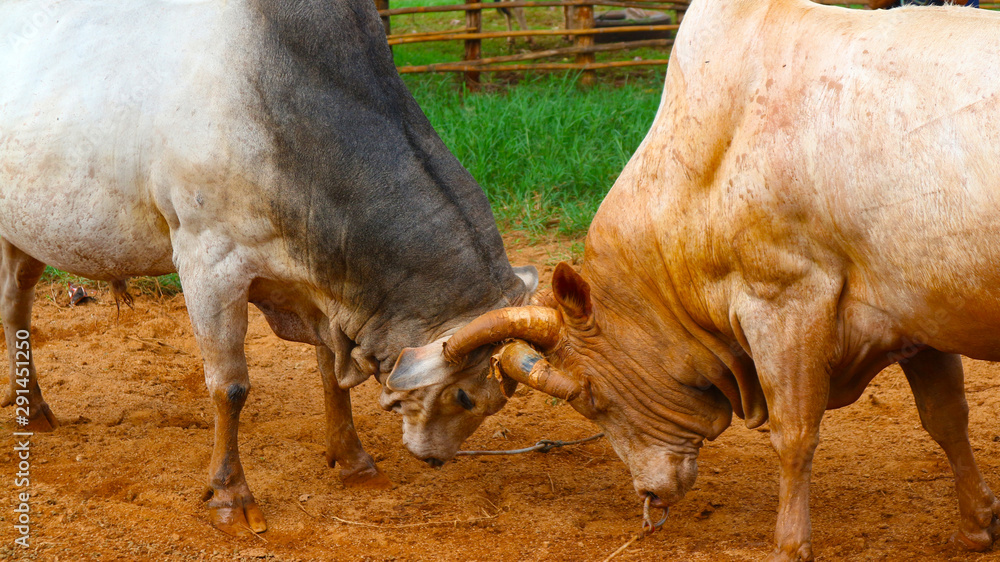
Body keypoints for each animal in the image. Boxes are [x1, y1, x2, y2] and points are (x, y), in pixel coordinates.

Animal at [0, 0, 536, 537]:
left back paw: (32, 406)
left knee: (16, 307)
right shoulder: (208, 261)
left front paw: (355, 461)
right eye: (465, 398)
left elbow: (328, 372)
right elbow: (230, 387)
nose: (437, 458)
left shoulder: (317, 290)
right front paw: (229, 495)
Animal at [418, 0, 1000, 560]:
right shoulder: (918, 316)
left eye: (592, 399)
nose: (649, 494)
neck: (709, 161)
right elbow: (946, 418)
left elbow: (795, 434)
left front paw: (788, 546)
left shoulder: (785, 302)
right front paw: (977, 525)